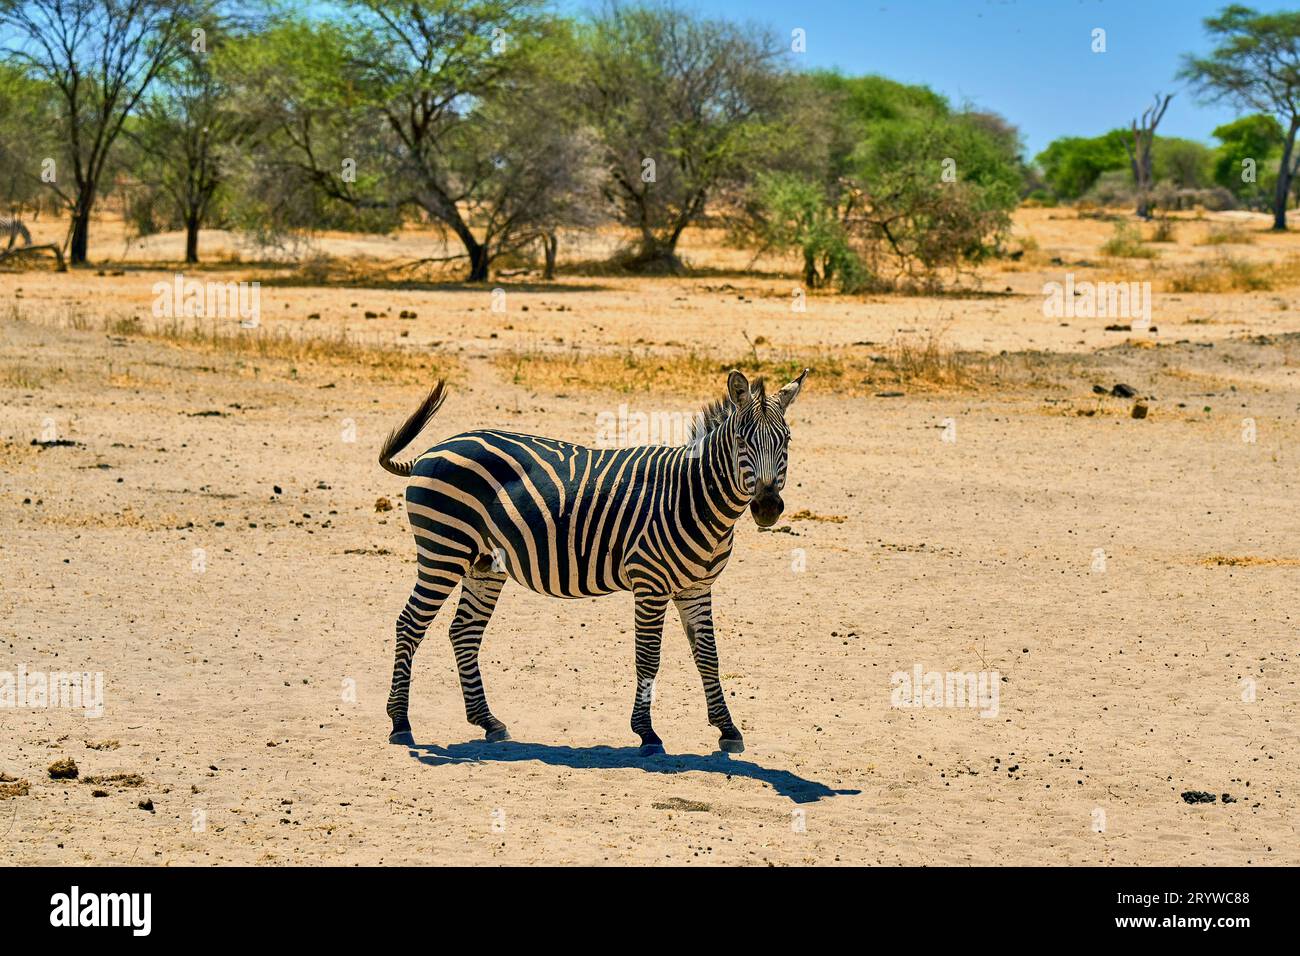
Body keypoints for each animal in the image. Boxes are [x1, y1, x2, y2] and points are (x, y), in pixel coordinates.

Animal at [378, 367, 809, 755]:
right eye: (742, 440)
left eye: (786, 440)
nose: (768, 507)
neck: (691, 496)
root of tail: (431, 451)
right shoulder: (650, 584)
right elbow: (648, 658)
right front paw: (647, 733)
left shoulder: (696, 588)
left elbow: (708, 657)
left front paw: (727, 728)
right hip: (443, 549)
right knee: (409, 624)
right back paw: (400, 723)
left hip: (484, 563)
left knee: (463, 632)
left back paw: (487, 721)